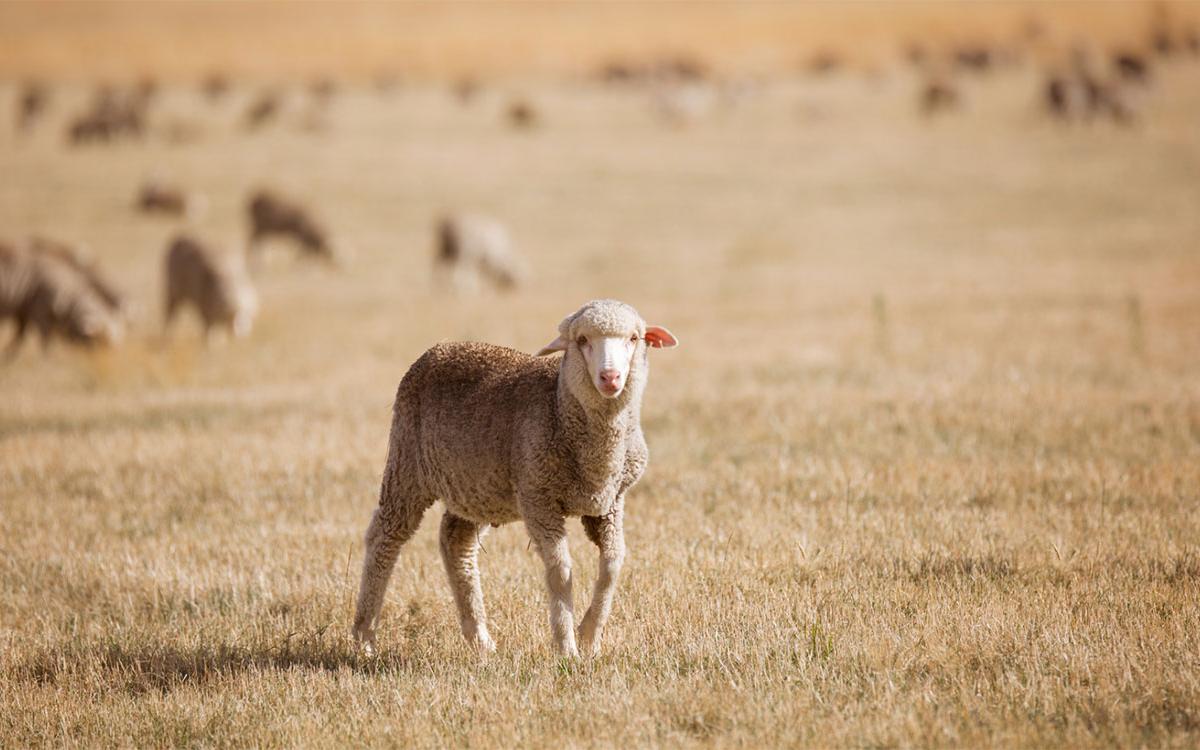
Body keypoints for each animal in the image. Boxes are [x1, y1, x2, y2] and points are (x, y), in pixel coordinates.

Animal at [352, 299, 678, 657]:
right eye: (581, 340)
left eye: (634, 339)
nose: (610, 377)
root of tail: (439, 348)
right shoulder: (538, 498)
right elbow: (560, 571)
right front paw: (567, 647)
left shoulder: (609, 503)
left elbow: (612, 564)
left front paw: (589, 636)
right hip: (407, 466)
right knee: (385, 536)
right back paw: (365, 635)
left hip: (475, 488)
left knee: (455, 542)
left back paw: (480, 639)